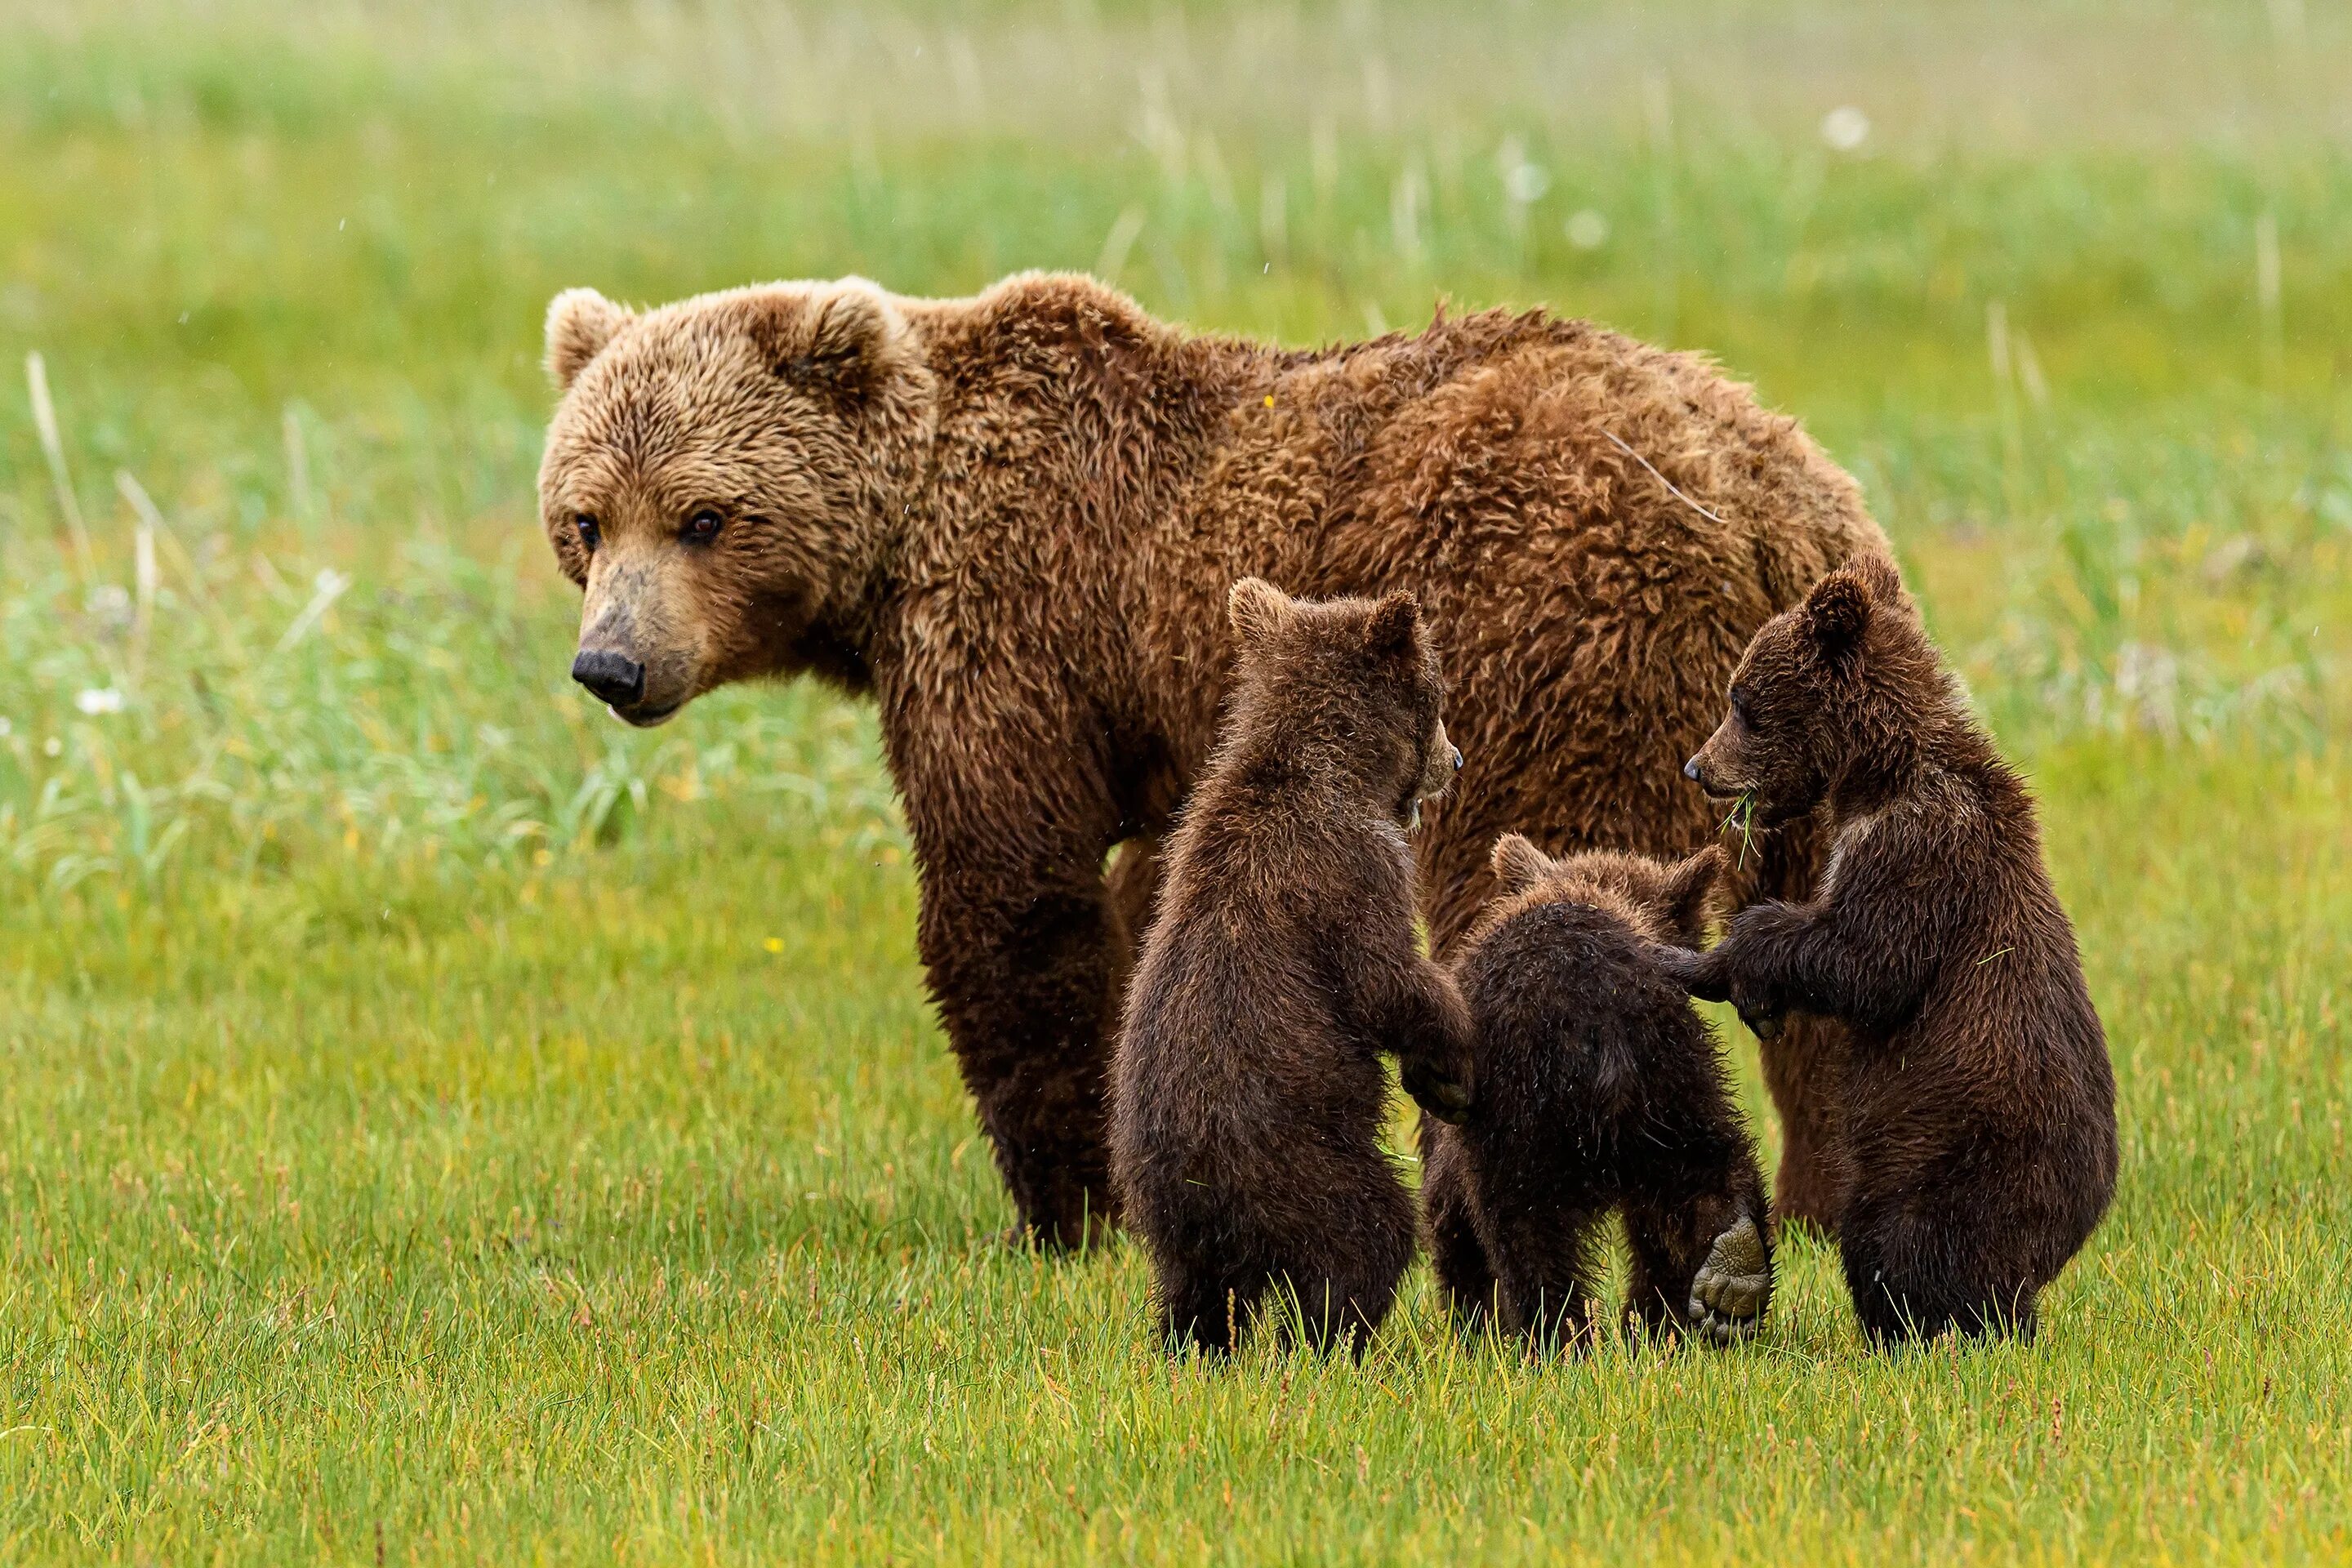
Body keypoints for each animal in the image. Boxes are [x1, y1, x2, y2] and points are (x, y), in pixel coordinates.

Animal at [538, 272, 1891, 1250]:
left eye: (705, 516)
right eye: (586, 517)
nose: (613, 665)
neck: (895, 548)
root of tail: (1766, 502)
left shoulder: (1013, 626)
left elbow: (1010, 899)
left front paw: (1071, 1209)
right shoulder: (1157, 716)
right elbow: (1158, 901)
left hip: (1562, 633)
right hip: (1802, 727)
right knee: (1821, 959)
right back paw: (1825, 1202)